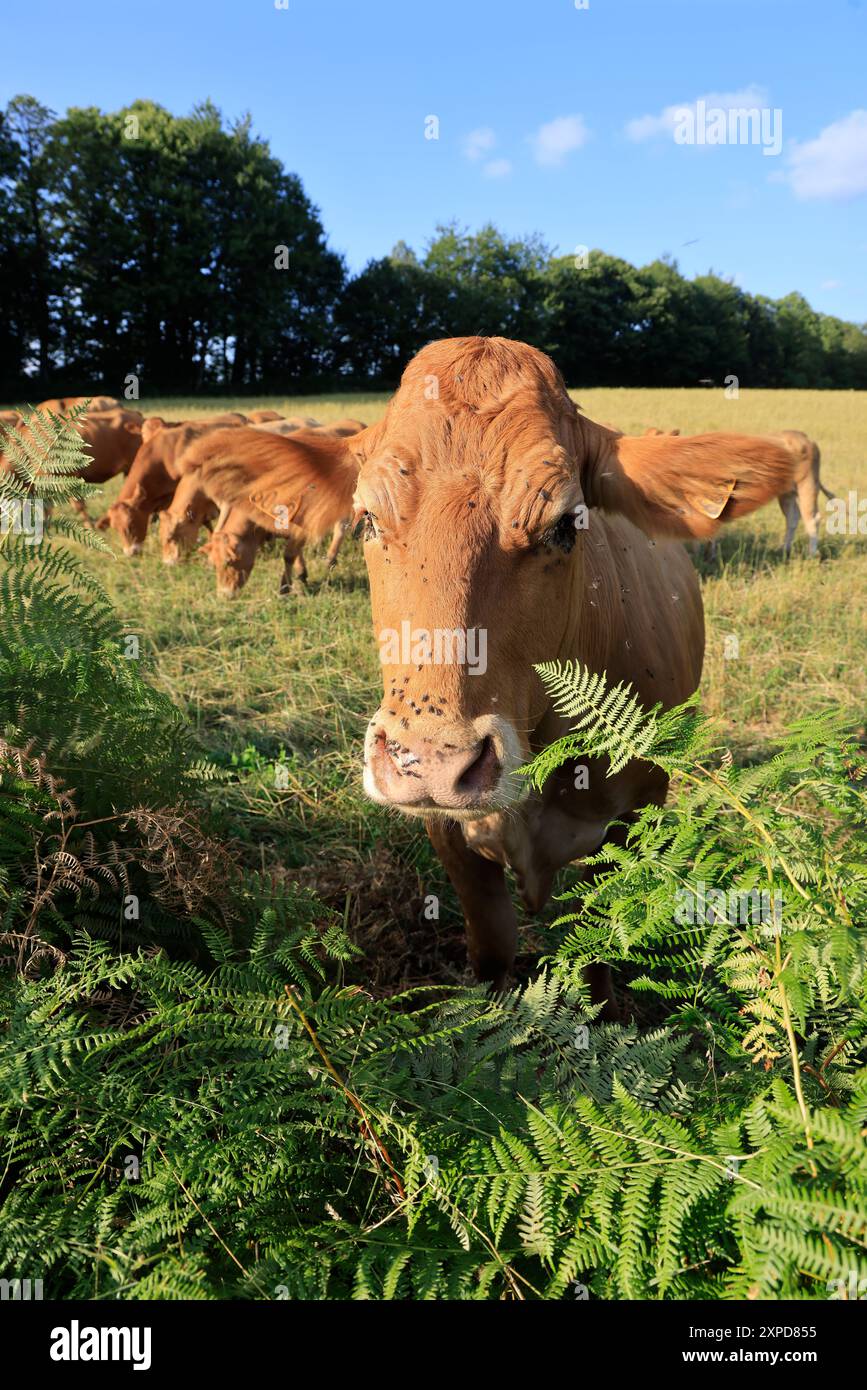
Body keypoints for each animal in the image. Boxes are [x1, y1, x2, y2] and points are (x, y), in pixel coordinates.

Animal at [349, 337, 796, 1006]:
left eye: (565, 525)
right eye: (368, 520)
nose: (431, 764)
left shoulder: (630, 819)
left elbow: (597, 951)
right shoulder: (451, 839)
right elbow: (493, 950)